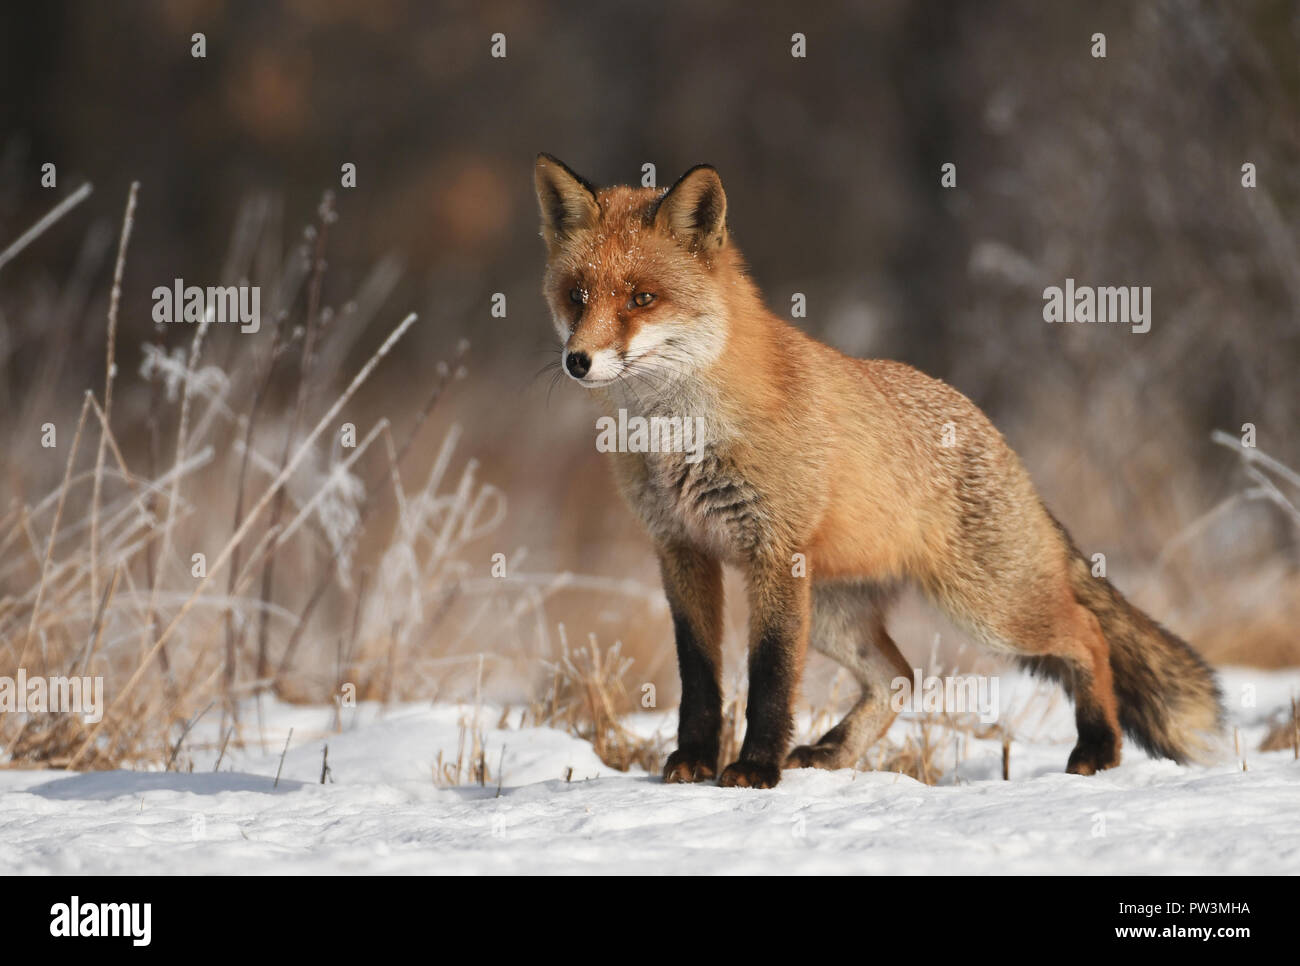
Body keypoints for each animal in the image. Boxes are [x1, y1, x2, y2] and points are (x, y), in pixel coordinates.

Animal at [533, 153, 1225, 789]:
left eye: (642, 298)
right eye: (578, 296)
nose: (577, 360)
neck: (676, 436)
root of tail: (994, 433)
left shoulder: (774, 552)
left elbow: (770, 678)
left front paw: (755, 769)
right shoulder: (680, 549)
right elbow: (700, 676)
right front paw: (694, 762)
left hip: (987, 609)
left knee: (1089, 635)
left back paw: (1098, 749)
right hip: (836, 615)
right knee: (901, 676)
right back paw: (833, 753)